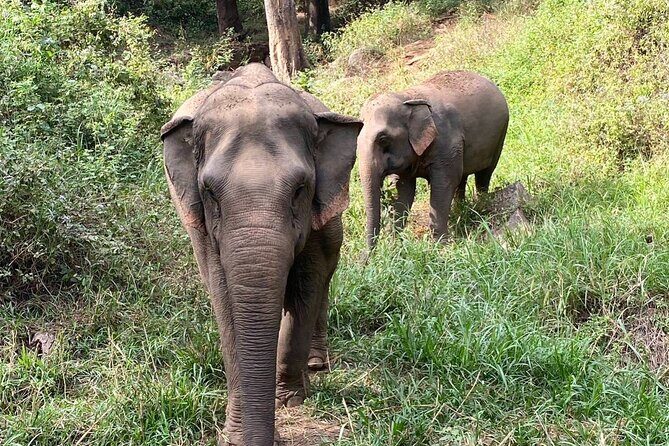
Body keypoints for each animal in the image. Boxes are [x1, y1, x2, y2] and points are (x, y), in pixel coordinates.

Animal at [161, 63, 362, 446]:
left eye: (300, 189)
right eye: (210, 192)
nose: (269, 438)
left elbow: (307, 285)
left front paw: (289, 399)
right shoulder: (204, 231)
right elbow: (225, 302)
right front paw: (236, 435)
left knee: (324, 282)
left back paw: (316, 364)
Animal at [357, 70, 509, 248]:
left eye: (382, 139)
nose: (369, 255)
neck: (407, 97)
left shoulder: (447, 141)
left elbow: (443, 184)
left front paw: (439, 246)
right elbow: (405, 191)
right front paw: (396, 245)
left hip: (500, 135)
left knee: (484, 174)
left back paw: (482, 204)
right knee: (462, 178)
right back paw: (460, 210)